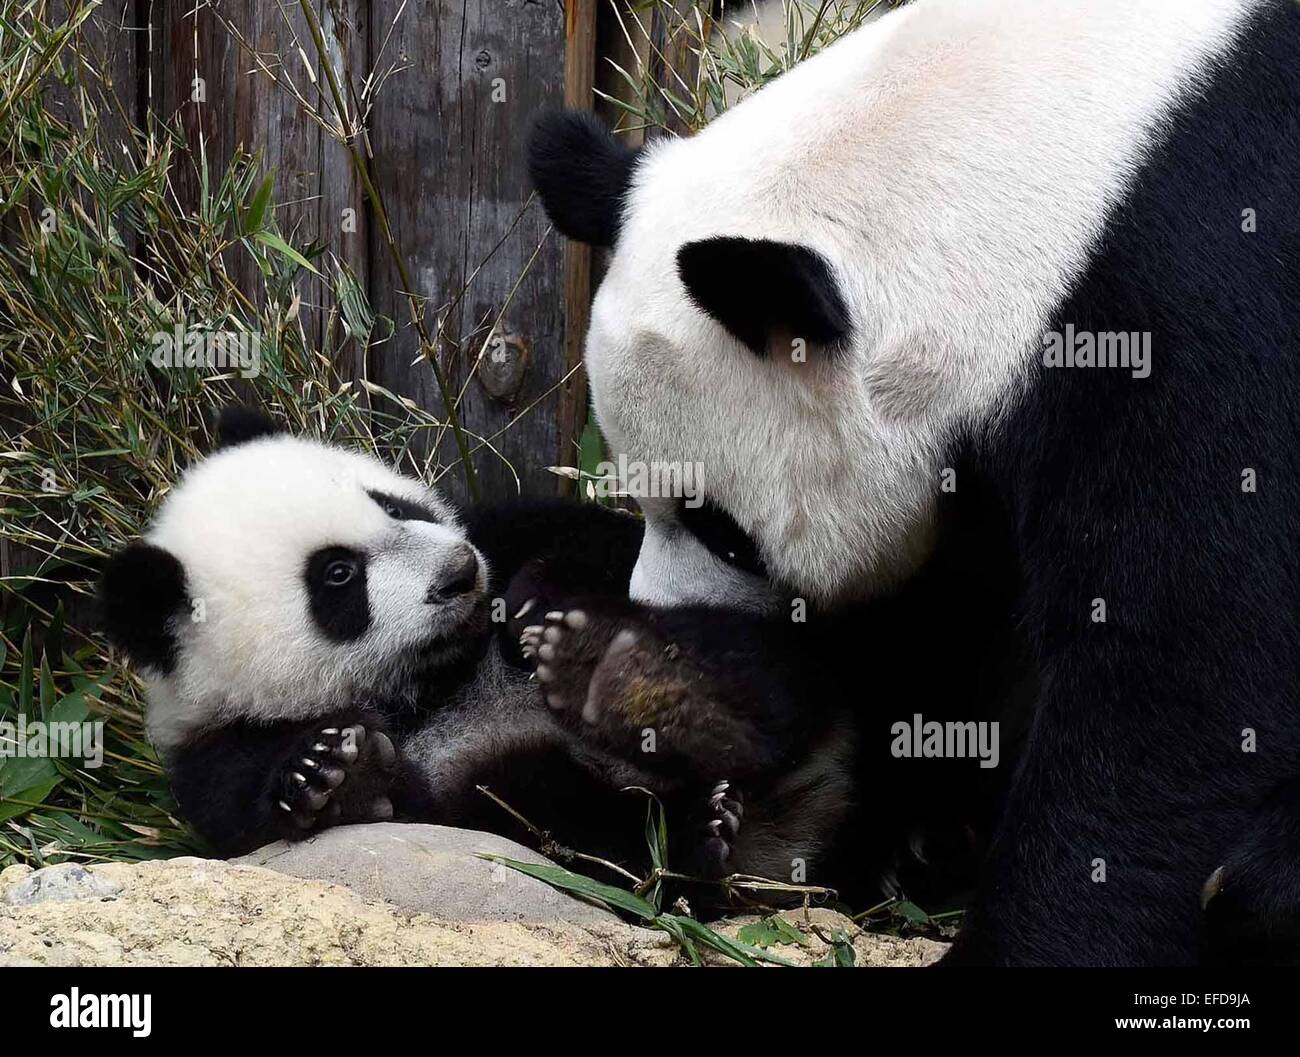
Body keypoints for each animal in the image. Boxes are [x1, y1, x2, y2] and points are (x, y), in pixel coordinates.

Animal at [97, 406, 858, 906]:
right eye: (338, 576)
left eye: (392, 503)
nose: (459, 575)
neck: (433, 677)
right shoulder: (215, 741)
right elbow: (243, 808)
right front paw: (332, 773)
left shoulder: (501, 528)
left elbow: (588, 533)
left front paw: (536, 603)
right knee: (566, 816)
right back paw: (696, 833)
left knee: (761, 678)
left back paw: (643, 689)